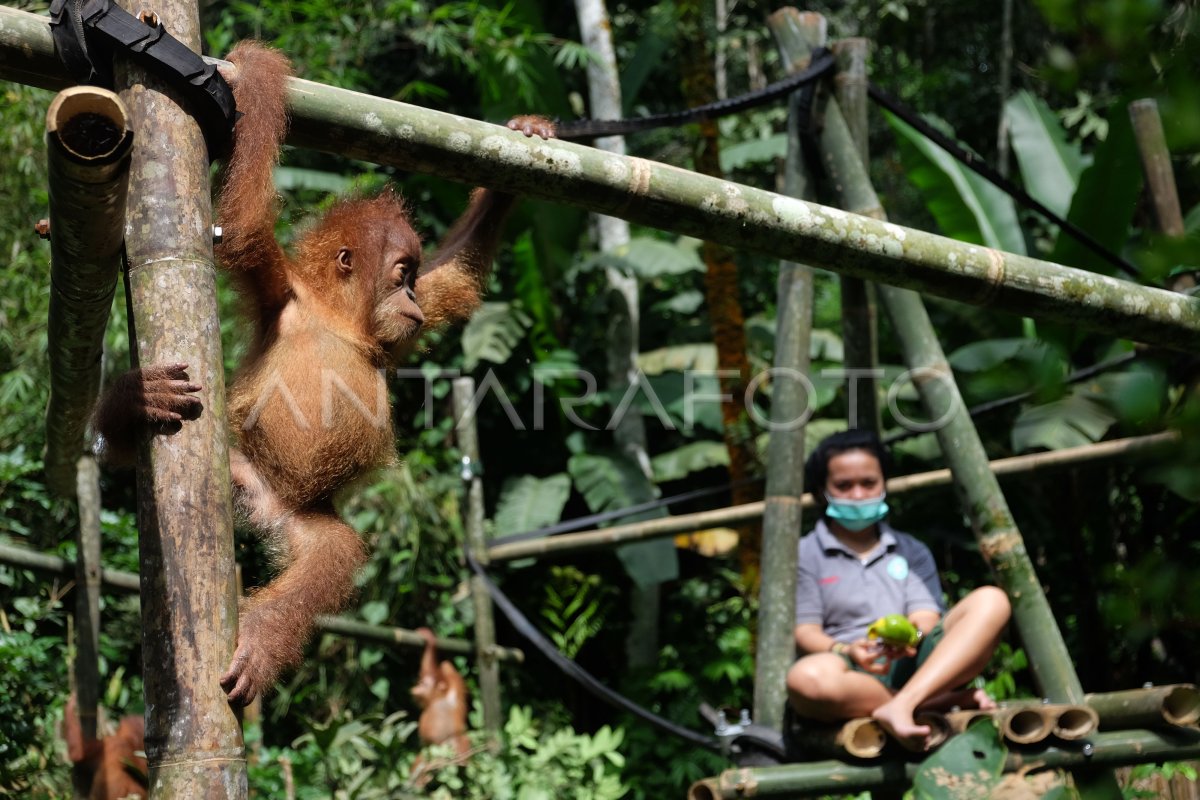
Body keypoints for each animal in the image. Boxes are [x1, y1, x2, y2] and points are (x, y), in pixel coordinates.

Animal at [93, 41, 556, 705]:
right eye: (400, 274)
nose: (410, 301)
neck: (337, 318)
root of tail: (266, 503)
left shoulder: (396, 335)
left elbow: (455, 276)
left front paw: (528, 135)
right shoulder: (278, 290)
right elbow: (244, 227)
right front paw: (254, 70)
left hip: (304, 518)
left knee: (331, 557)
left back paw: (261, 639)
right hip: (238, 465)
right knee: (126, 453)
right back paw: (134, 402)